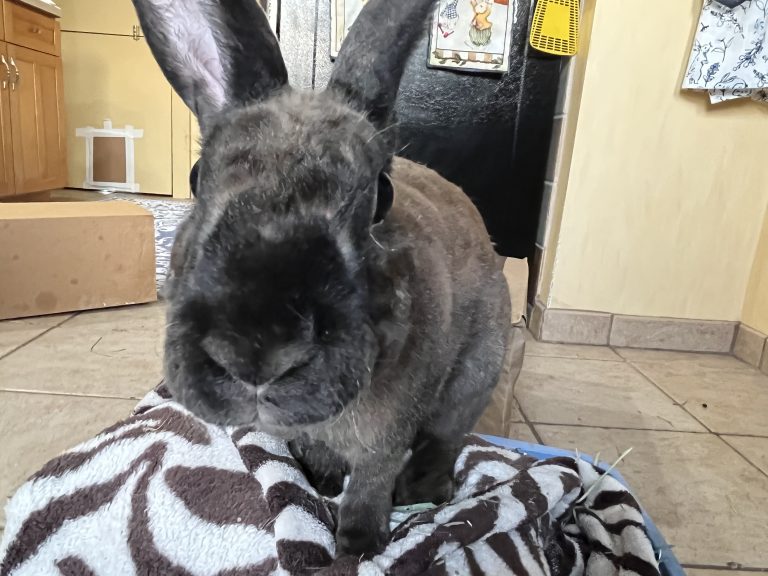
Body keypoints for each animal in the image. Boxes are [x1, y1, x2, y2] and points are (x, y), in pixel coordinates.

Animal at [132, 0, 511, 557]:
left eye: (383, 195)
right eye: (197, 179)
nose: (257, 354)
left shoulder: (388, 434)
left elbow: (372, 480)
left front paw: (358, 546)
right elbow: (313, 449)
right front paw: (318, 483)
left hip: (474, 379)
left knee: (443, 442)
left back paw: (423, 493)